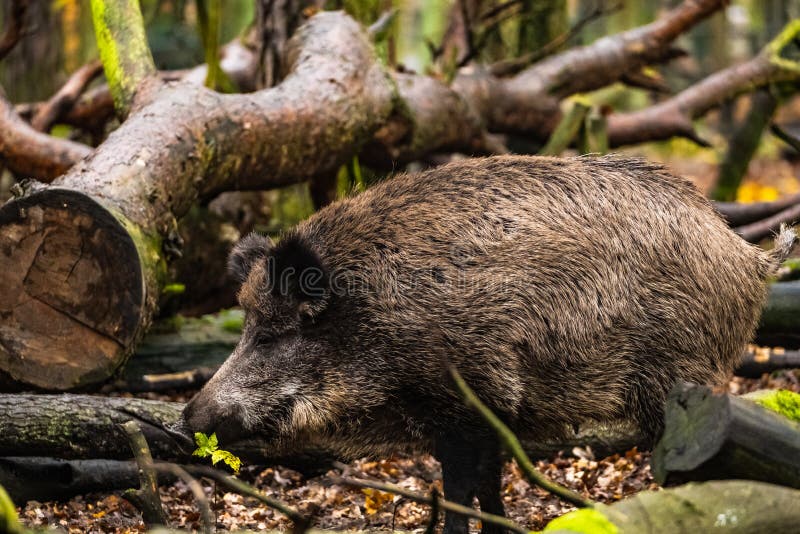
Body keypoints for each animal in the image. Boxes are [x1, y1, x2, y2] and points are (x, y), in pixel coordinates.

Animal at [182, 155, 795, 533]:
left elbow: (460, 490)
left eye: (271, 333)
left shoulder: (465, 399)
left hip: (680, 377)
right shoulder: (495, 412)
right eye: (244, 325)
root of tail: (747, 254)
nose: (188, 416)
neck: (370, 320)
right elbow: (490, 486)